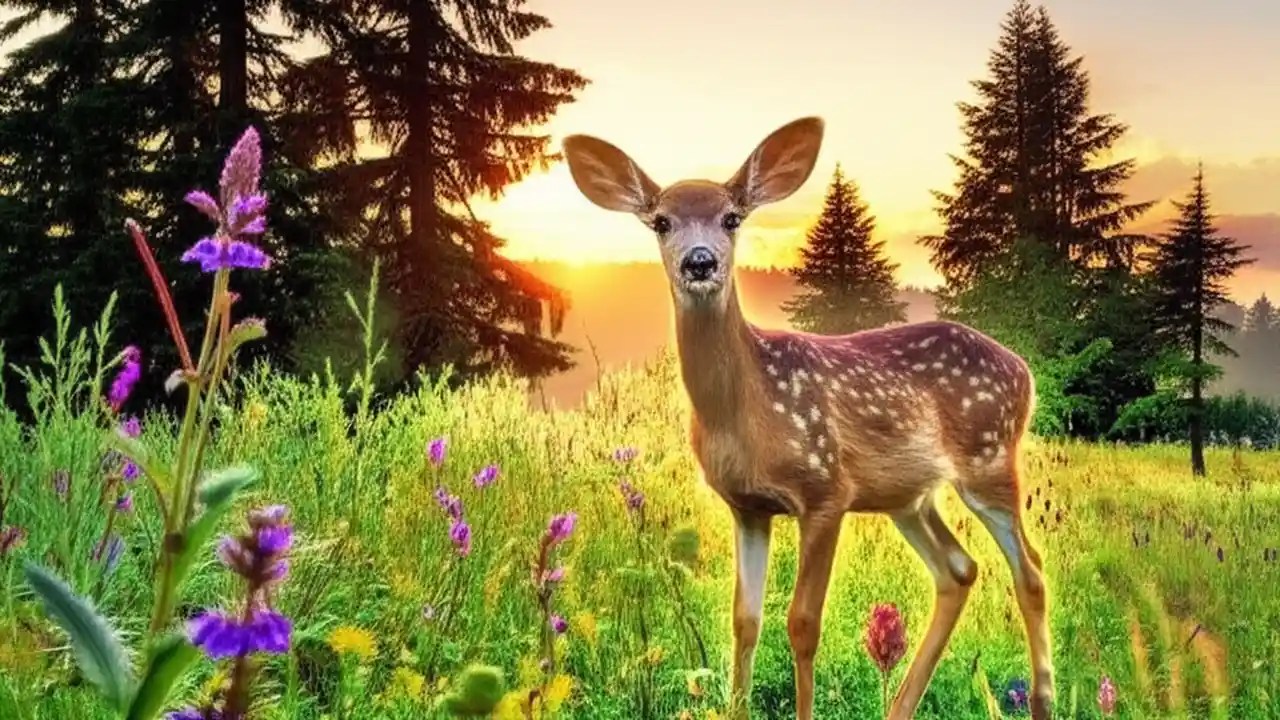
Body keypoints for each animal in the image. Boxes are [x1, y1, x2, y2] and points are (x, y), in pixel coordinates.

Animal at [561, 117, 1054, 720]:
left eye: (732, 217)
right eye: (661, 221)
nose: (699, 261)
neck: (746, 411)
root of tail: (1024, 369)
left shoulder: (826, 491)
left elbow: (802, 624)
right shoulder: (747, 507)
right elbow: (744, 621)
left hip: (989, 460)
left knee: (1030, 572)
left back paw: (1042, 701)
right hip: (909, 497)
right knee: (959, 571)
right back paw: (900, 709)